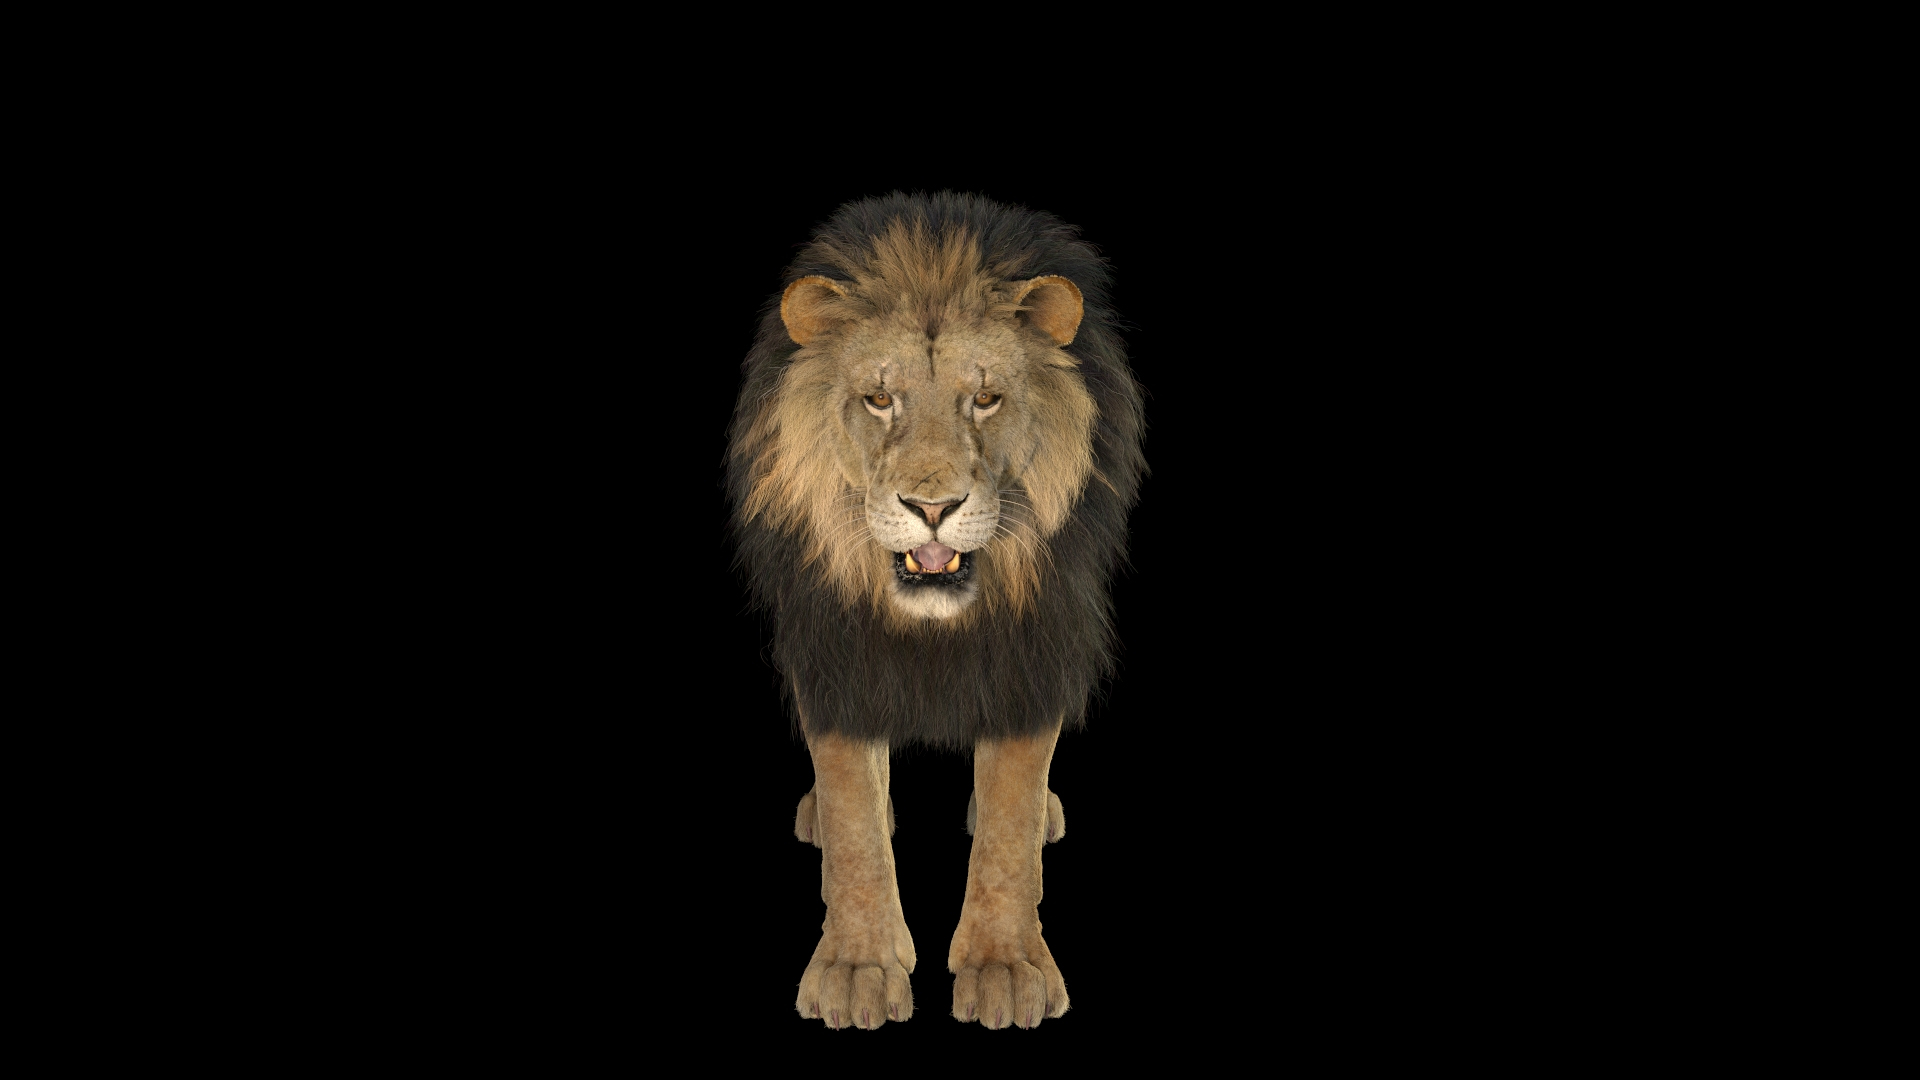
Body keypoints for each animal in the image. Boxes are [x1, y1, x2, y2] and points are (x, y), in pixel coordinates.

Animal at [726, 192, 1146, 1030]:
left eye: (984, 398)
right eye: (878, 399)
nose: (931, 508)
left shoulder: (1029, 647)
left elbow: (1010, 816)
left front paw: (1004, 966)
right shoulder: (839, 649)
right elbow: (854, 817)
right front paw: (857, 967)